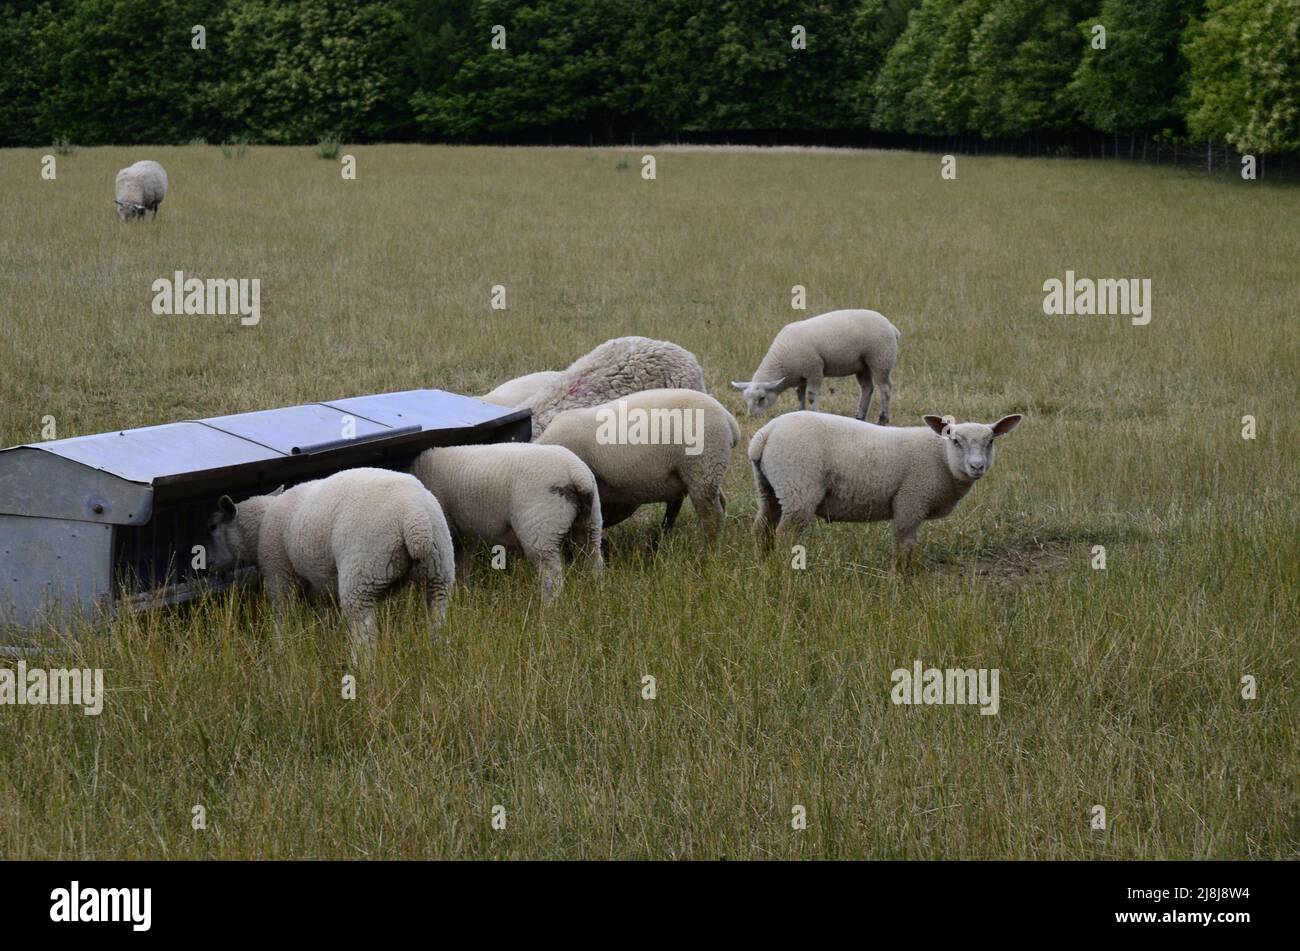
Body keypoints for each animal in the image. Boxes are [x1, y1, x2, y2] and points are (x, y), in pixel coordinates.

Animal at [206, 467, 455, 660]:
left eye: (213, 526)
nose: (208, 565)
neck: (259, 528)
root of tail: (416, 520)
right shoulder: (322, 585)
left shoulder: (280, 573)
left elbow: (281, 616)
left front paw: (279, 649)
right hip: (439, 569)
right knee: (437, 617)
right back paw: (436, 652)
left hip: (362, 573)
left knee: (364, 637)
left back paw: (360, 668)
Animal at [409, 443, 602, 604]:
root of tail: (577, 474)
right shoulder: (464, 534)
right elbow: (462, 562)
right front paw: (462, 591)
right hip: (591, 522)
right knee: (593, 559)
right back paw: (594, 594)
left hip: (541, 529)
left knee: (551, 576)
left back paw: (548, 608)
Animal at [536, 388, 741, 545]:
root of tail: (729, 420)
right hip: (707, 471)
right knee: (720, 505)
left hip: (702, 467)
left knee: (712, 515)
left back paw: (708, 552)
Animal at [731, 308, 901, 423]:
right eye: (745, 399)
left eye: (762, 398)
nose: (751, 418)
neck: (782, 360)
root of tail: (892, 327)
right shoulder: (800, 376)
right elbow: (800, 395)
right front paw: (800, 411)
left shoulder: (814, 370)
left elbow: (812, 396)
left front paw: (815, 413)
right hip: (862, 365)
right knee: (867, 388)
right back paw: (860, 416)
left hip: (881, 359)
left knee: (885, 388)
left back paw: (882, 419)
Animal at [749, 412, 1023, 570]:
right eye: (955, 441)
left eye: (990, 441)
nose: (977, 466)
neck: (942, 459)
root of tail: (766, 433)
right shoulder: (911, 501)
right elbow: (903, 547)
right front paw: (899, 583)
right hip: (798, 489)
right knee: (785, 535)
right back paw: (785, 574)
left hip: (769, 488)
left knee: (762, 528)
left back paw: (764, 567)